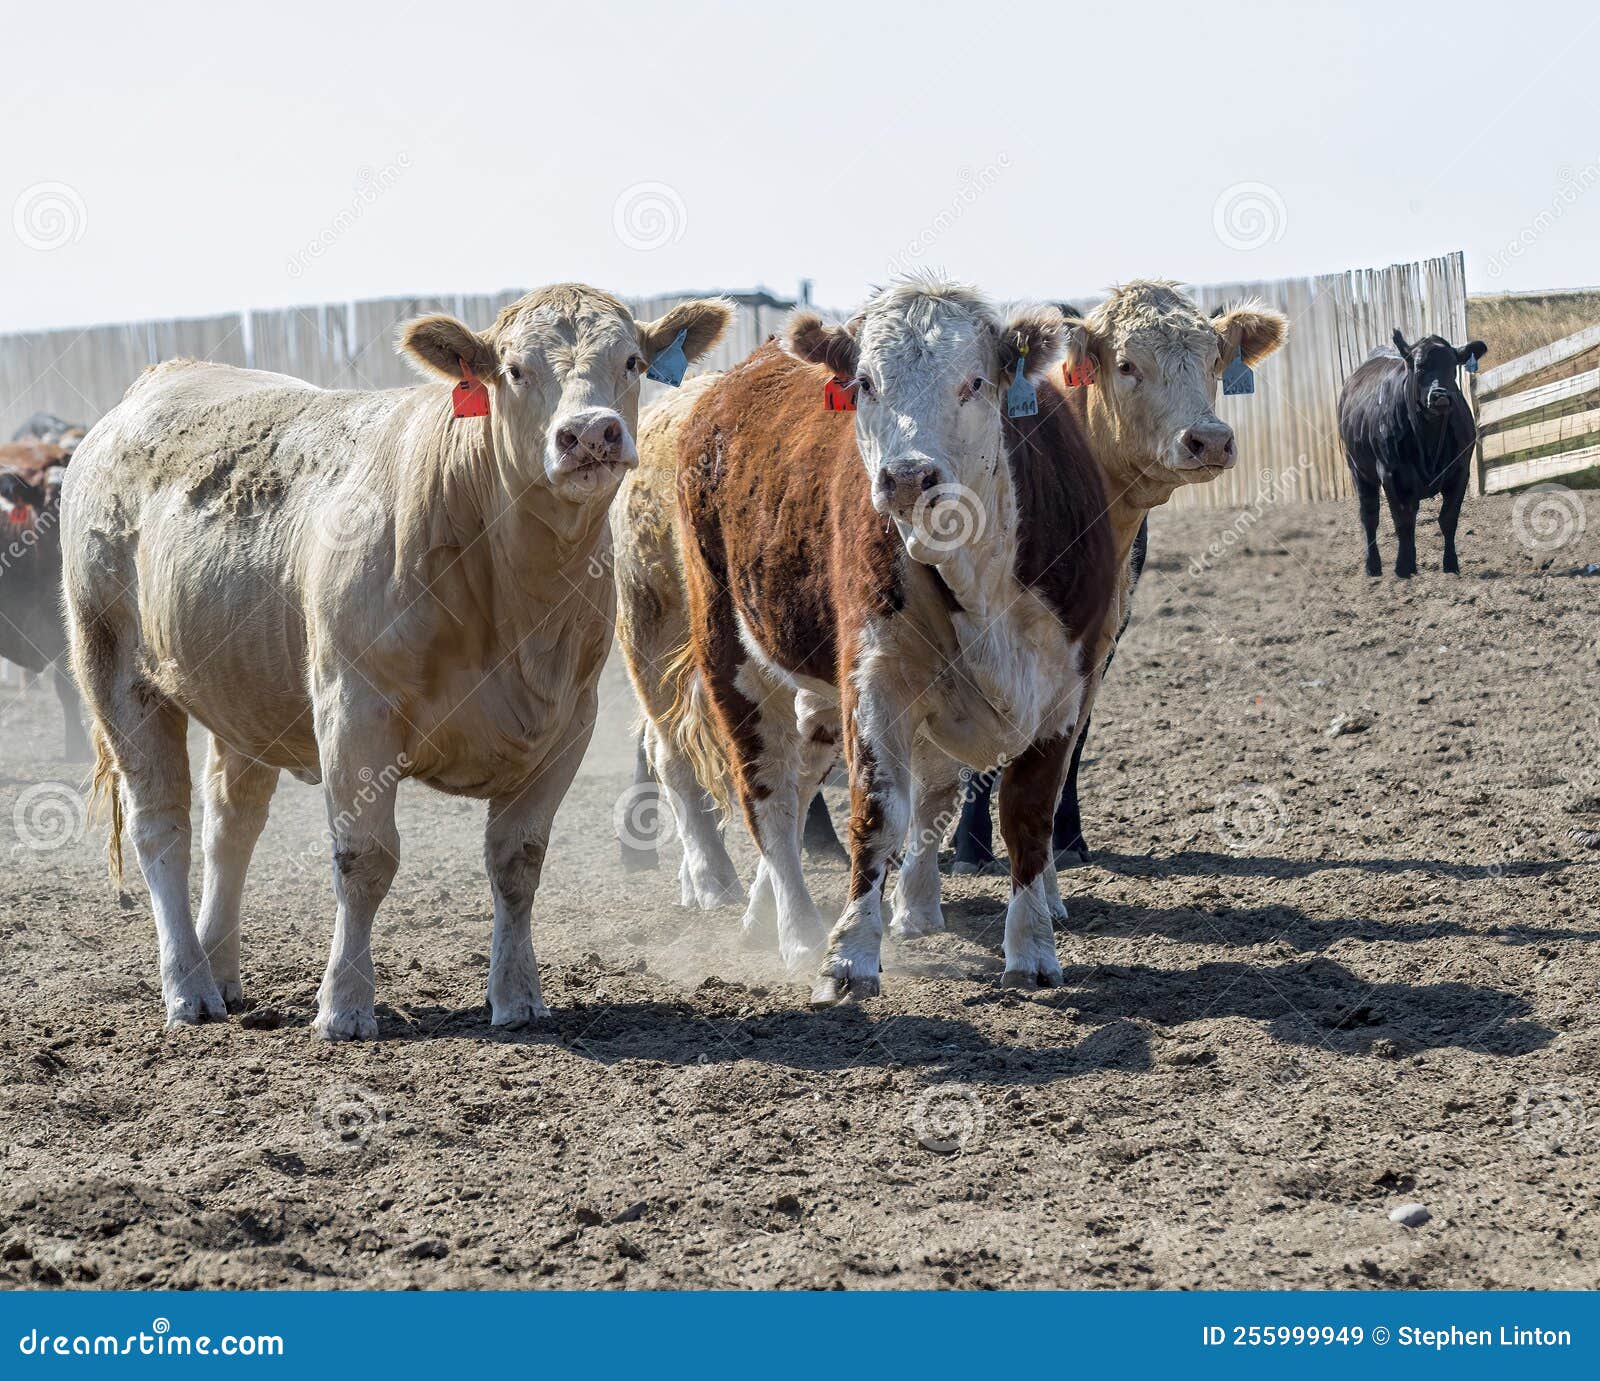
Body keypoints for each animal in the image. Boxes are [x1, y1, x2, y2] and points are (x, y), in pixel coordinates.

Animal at [61, 284, 731, 1037]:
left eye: (633, 361)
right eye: (514, 370)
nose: (589, 433)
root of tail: (160, 379)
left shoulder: (568, 725)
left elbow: (518, 861)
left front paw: (518, 995)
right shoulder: (355, 708)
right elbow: (366, 859)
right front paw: (345, 1005)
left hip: (247, 692)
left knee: (231, 826)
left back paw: (221, 969)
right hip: (115, 668)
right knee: (162, 829)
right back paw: (189, 986)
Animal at [952, 280, 1287, 868]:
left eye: (1215, 360)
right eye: (1128, 364)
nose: (1210, 439)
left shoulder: (1105, 626)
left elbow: (1075, 732)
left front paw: (1067, 837)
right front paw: (969, 845)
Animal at [1338, 330, 1487, 578]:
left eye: (1453, 366)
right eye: (1419, 367)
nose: (1440, 395)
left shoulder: (1461, 471)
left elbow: (1448, 519)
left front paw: (1451, 565)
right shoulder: (1391, 474)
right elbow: (1402, 521)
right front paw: (1404, 567)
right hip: (1358, 469)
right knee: (1369, 516)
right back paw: (1373, 566)